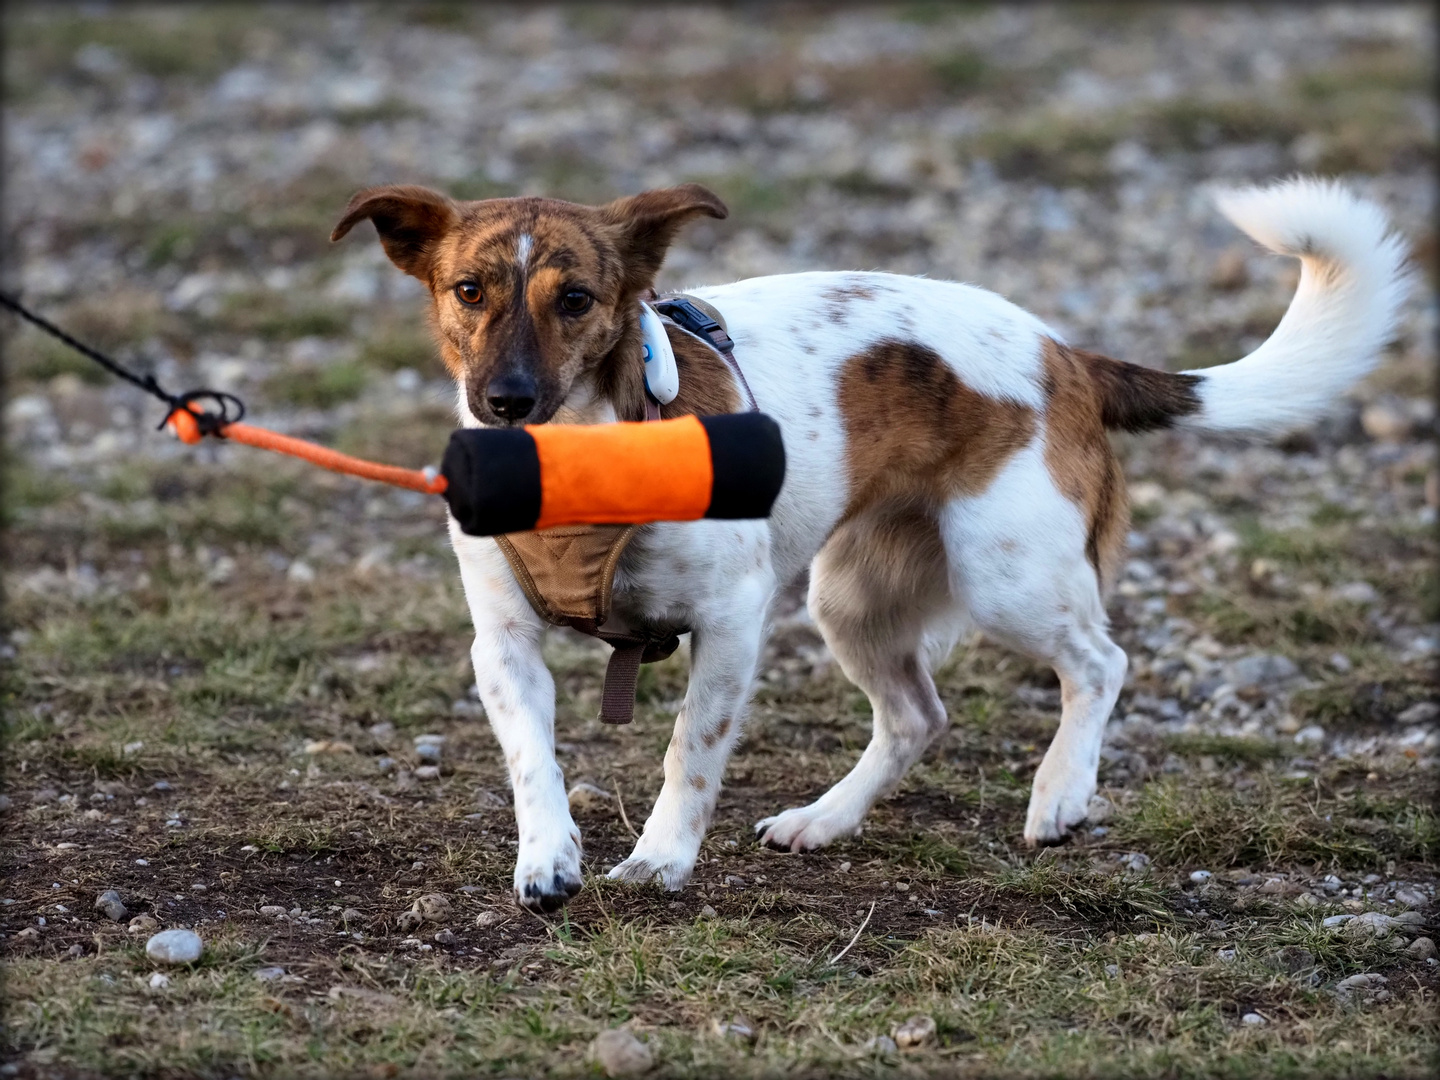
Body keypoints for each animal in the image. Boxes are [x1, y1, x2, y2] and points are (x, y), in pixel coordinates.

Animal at [329, 175, 1405, 904]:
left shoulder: (732, 625)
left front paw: (663, 858)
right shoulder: (503, 642)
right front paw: (549, 857)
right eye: (468, 291)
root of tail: (1064, 355)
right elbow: (532, 758)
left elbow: (689, 751)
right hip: (852, 598)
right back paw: (824, 820)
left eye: (577, 301)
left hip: (1005, 573)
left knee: (1101, 662)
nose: (504, 400)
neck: (579, 466)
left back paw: (1060, 794)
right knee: (917, 716)